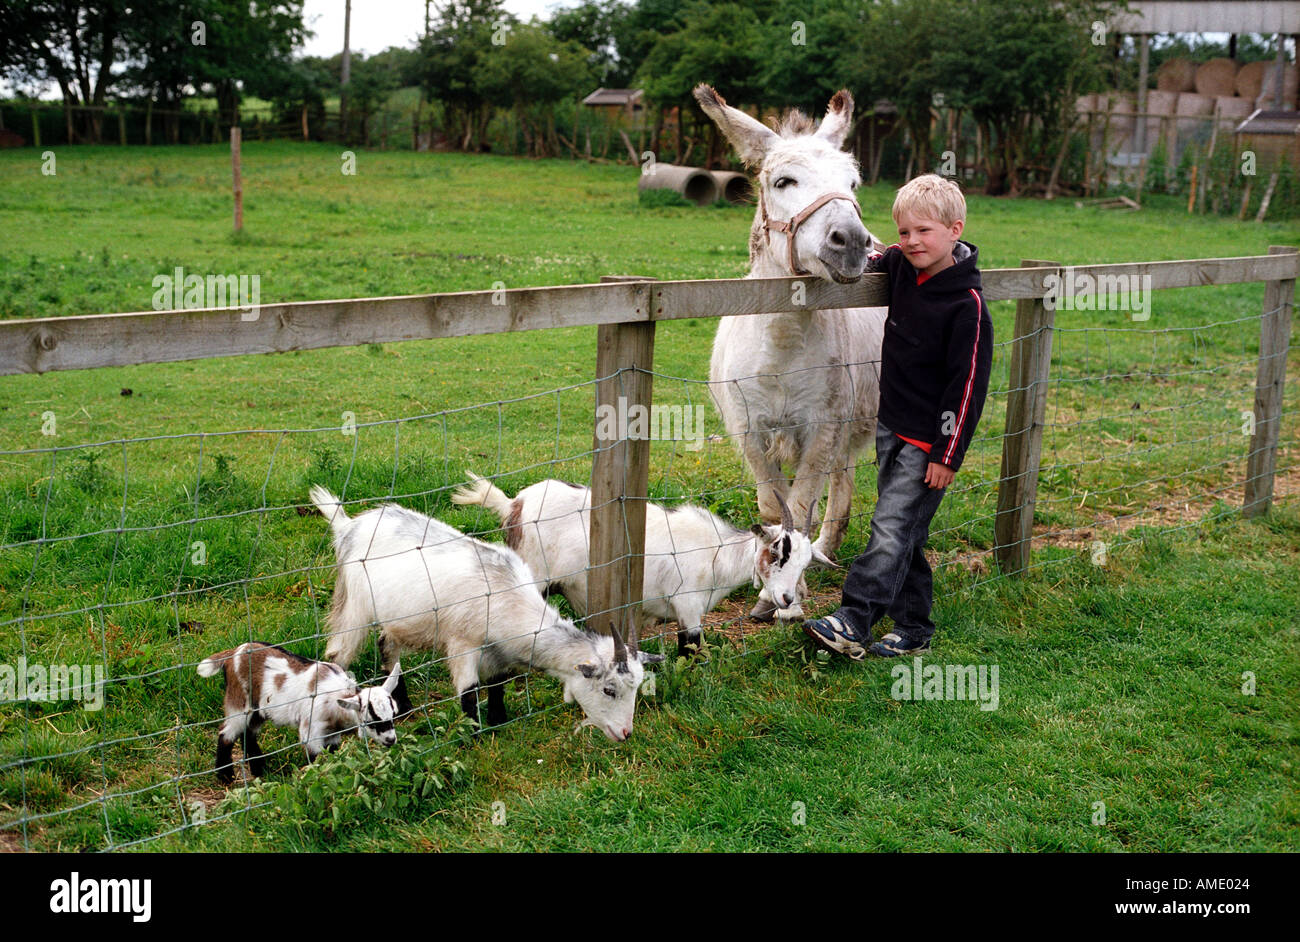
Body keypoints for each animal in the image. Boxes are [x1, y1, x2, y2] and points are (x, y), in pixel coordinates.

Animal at [196, 641, 401, 784]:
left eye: (393, 715)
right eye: (371, 721)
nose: (391, 739)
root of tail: (234, 653)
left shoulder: (332, 733)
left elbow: (332, 754)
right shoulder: (311, 729)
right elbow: (316, 757)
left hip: (258, 710)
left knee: (248, 733)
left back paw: (259, 769)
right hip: (239, 701)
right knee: (227, 732)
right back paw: (225, 776)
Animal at [310, 486, 662, 742]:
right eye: (609, 689)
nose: (625, 733)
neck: (507, 597)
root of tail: (350, 525)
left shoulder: (499, 652)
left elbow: (497, 685)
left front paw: (498, 721)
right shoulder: (463, 643)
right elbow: (468, 692)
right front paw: (473, 736)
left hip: (396, 617)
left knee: (387, 646)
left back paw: (404, 707)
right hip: (354, 604)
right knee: (338, 653)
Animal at [451, 472, 837, 654]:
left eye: (804, 564)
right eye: (777, 551)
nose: (787, 598)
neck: (715, 554)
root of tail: (513, 505)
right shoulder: (688, 606)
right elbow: (690, 650)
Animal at [695, 84, 887, 617]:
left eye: (853, 182)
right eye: (783, 181)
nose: (853, 242)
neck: (781, 347)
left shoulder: (821, 427)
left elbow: (798, 508)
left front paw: (789, 594)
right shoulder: (749, 431)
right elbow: (771, 507)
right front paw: (773, 585)